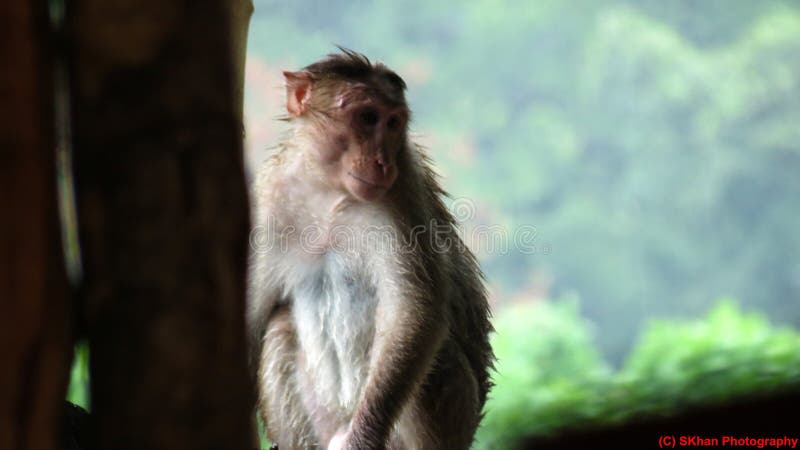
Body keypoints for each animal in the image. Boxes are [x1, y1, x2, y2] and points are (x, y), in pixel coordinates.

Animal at [247, 50, 493, 450]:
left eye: (393, 123)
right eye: (366, 117)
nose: (382, 162)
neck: (328, 192)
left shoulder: (402, 196)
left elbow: (413, 312)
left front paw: (362, 439)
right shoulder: (265, 203)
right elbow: (252, 317)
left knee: (432, 352)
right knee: (280, 328)